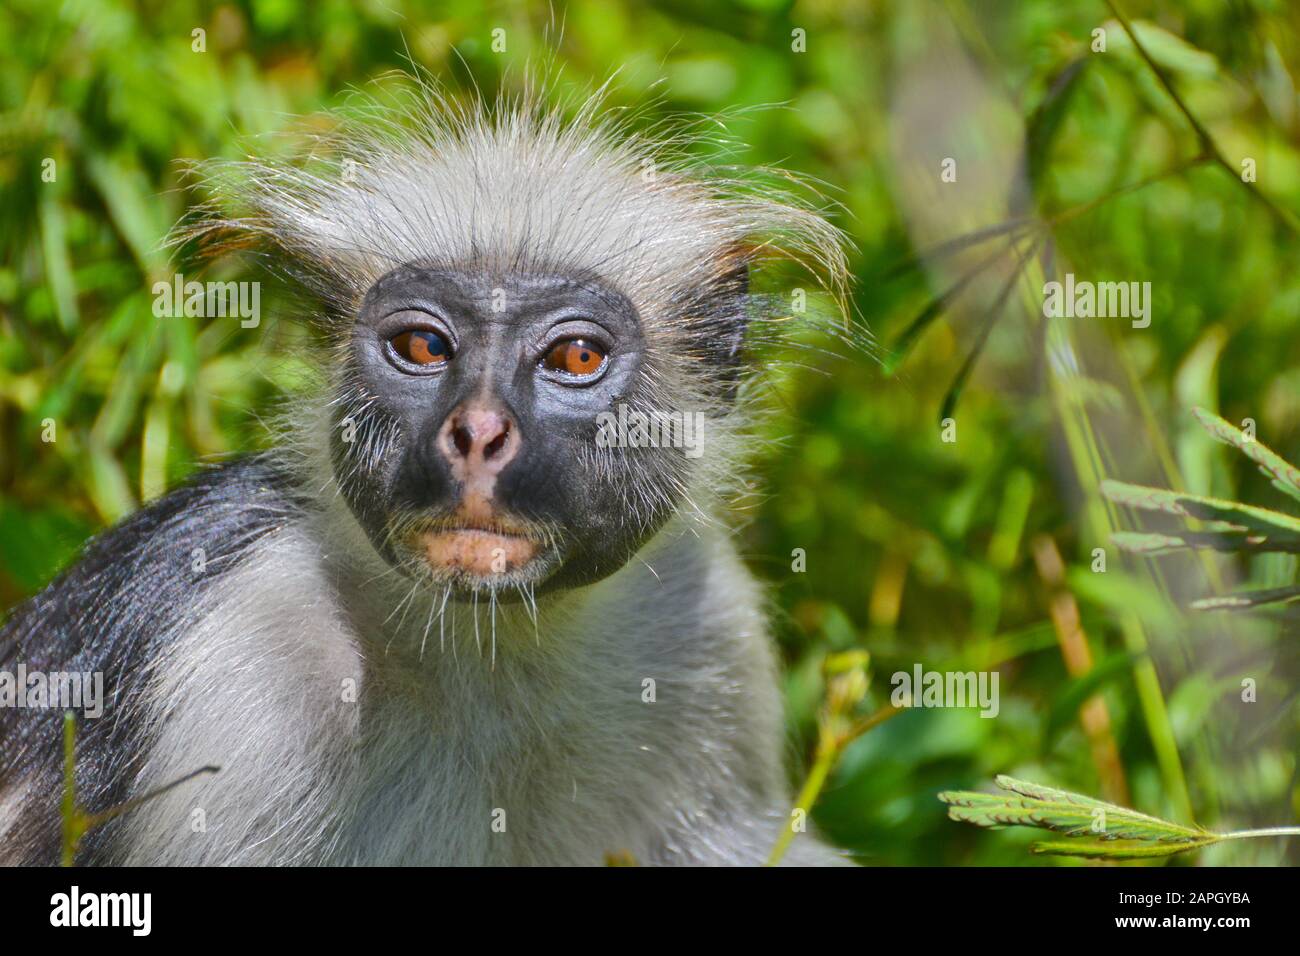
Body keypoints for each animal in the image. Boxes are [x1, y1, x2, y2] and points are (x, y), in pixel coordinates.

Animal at [0, 79, 853, 866]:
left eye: (576, 357)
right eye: (423, 347)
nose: (477, 433)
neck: (495, 645)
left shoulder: (706, 623)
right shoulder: (243, 657)